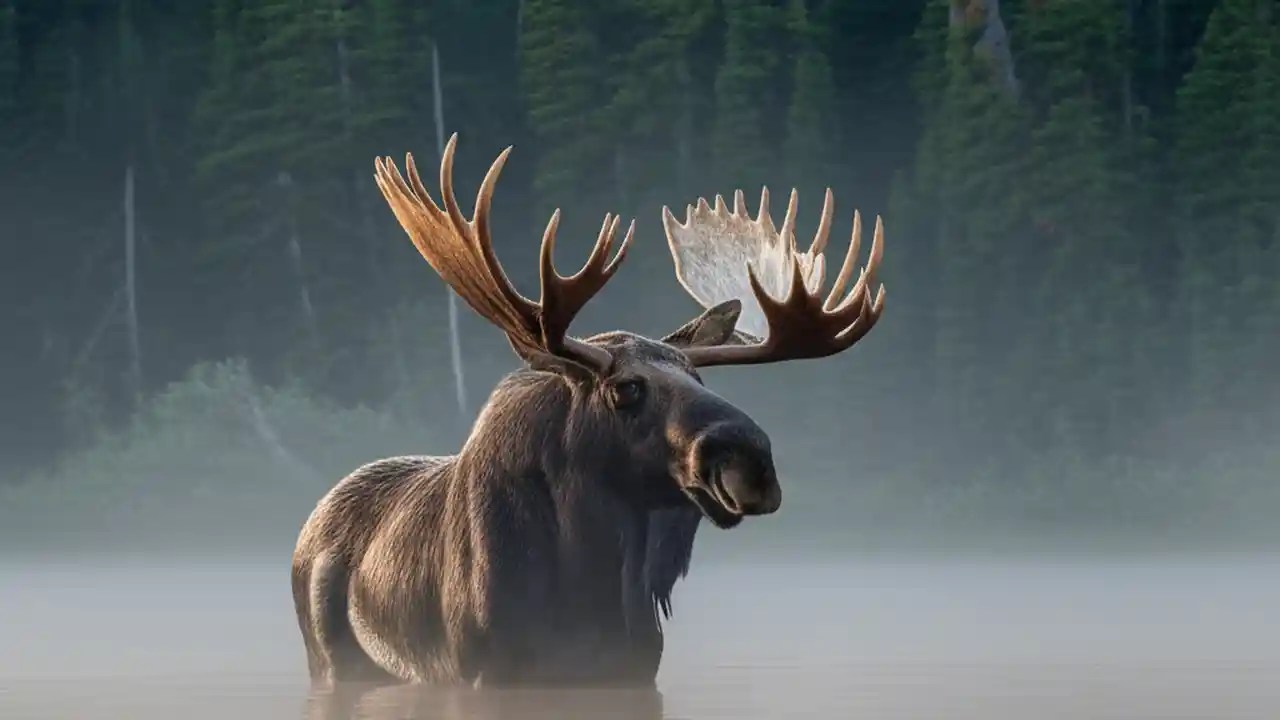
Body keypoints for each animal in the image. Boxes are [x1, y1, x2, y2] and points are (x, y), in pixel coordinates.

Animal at [290, 134, 886, 689]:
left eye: (697, 377)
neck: (590, 583)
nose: (750, 460)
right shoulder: (482, 673)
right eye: (625, 388)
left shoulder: (635, 669)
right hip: (331, 660)